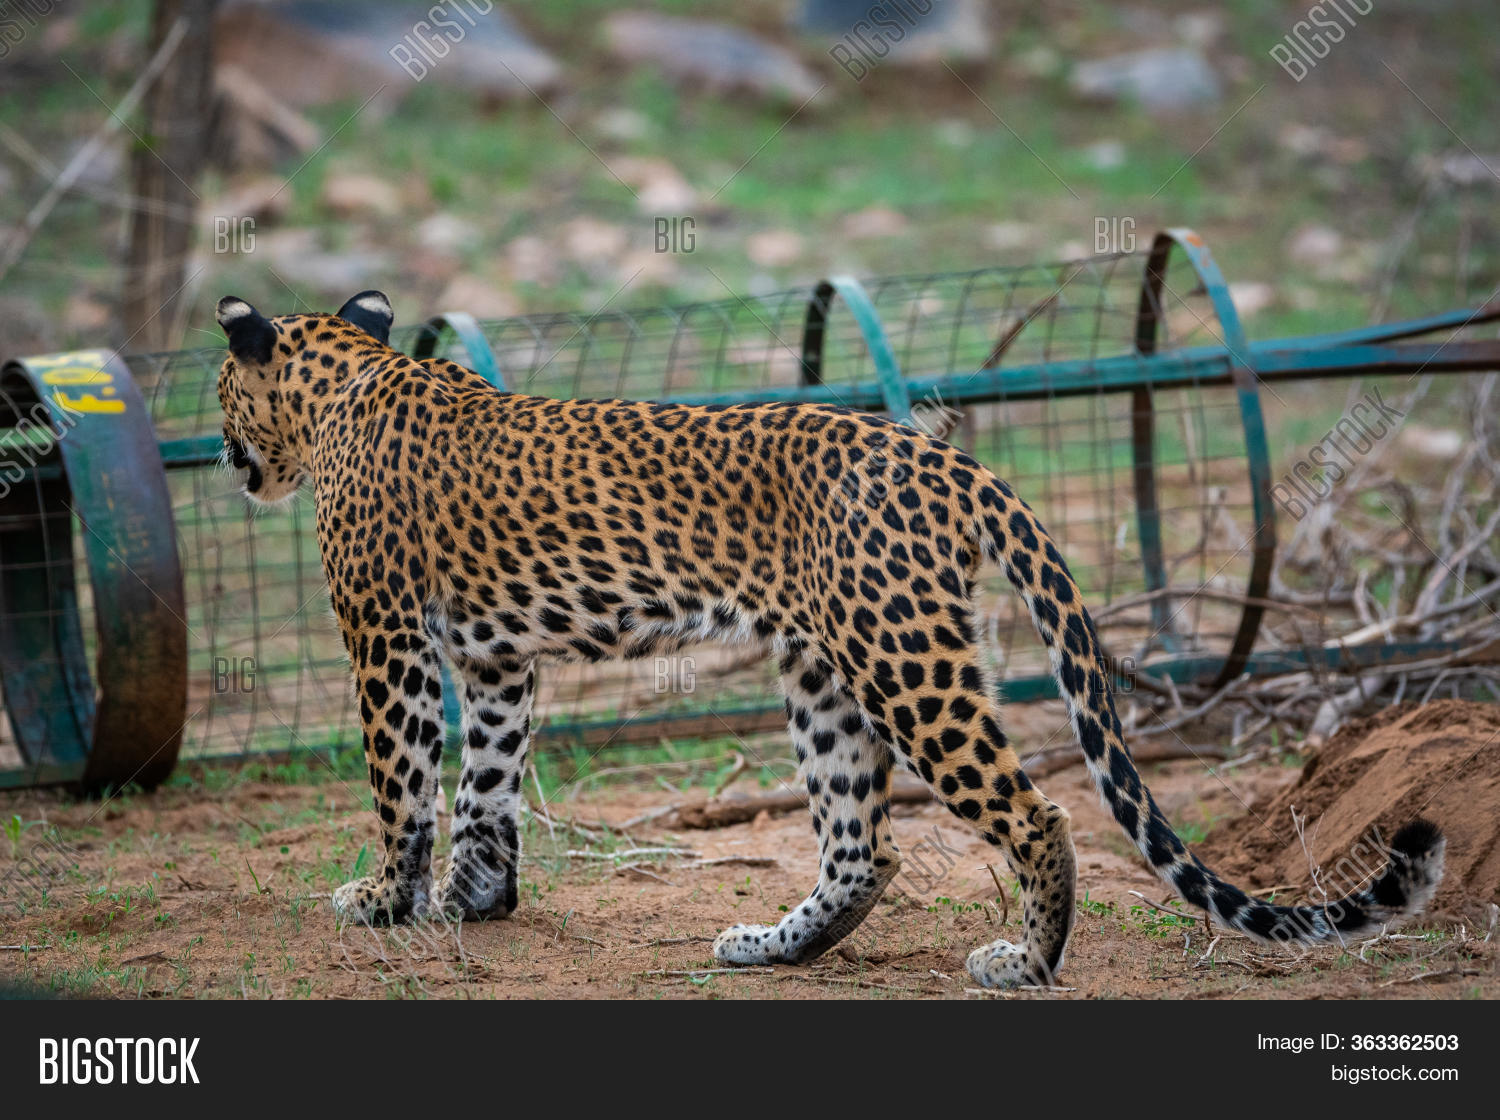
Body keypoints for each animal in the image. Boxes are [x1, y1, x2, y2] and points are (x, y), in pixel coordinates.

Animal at [214, 289, 1446, 988]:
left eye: (223, 386)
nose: (226, 454)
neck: (347, 384)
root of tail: (947, 457)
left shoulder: (386, 637)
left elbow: (402, 780)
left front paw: (383, 900)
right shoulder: (494, 656)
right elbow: (484, 782)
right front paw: (476, 898)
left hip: (905, 661)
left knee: (1036, 813)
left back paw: (1026, 961)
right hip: (823, 669)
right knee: (865, 844)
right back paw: (775, 946)